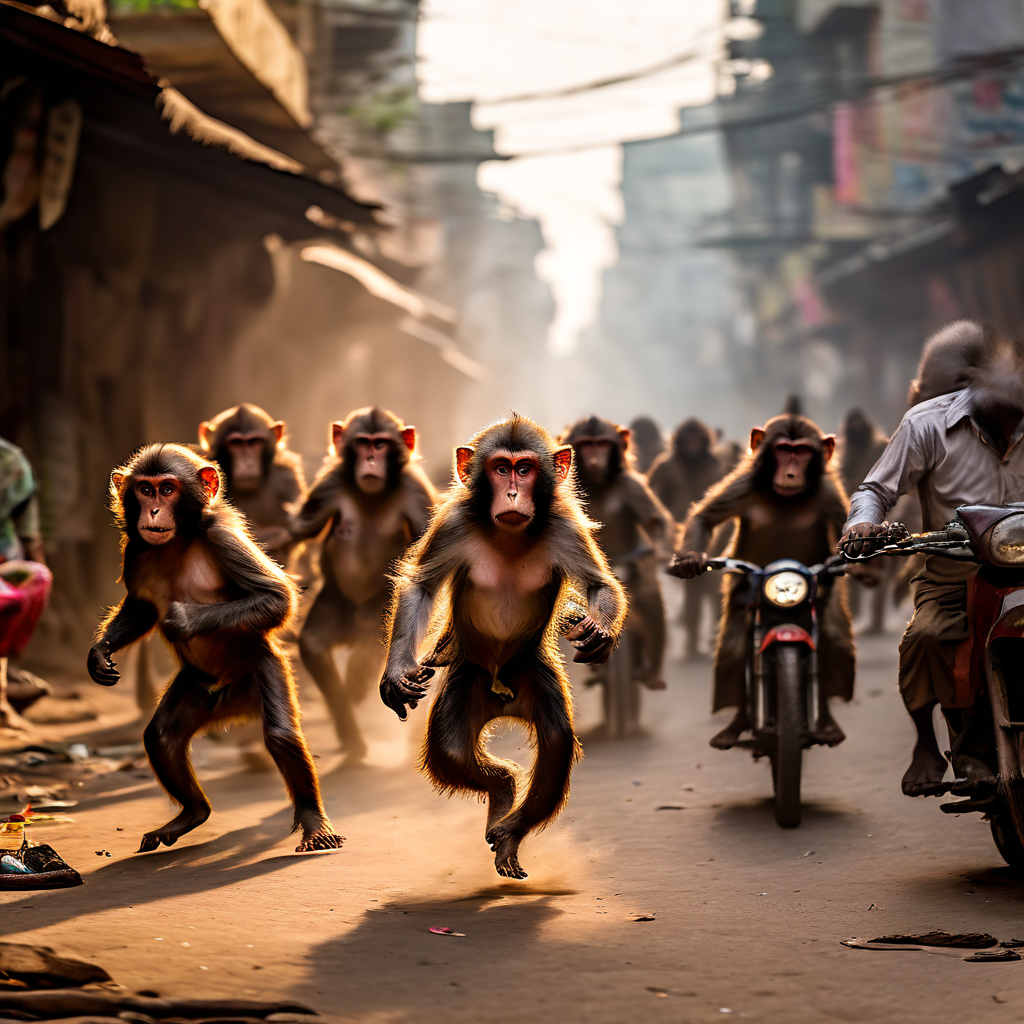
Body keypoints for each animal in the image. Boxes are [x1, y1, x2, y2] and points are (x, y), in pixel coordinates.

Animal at [87, 444, 342, 854]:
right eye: (145, 490)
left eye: (167, 490)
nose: (152, 511)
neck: (179, 540)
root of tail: (237, 705)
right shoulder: (136, 551)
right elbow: (141, 609)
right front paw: (99, 652)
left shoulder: (223, 537)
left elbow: (276, 598)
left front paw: (180, 619)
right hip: (199, 686)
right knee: (161, 736)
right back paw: (191, 814)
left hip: (262, 668)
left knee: (281, 735)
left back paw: (314, 824)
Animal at [292, 407, 437, 762]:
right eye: (362, 443)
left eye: (381, 444)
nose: (371, 459)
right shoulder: (330, 483)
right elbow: (298, 531)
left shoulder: (414, 490)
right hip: (336, 599)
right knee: (314, 644)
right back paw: (352, 739)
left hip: (375, 608)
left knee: (373, 636)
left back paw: (357, 680)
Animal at [379, 414, 626, 879]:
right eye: (500, 469)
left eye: (524, 469)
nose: (512, 492)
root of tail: (501, 694)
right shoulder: (453, 524)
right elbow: (421, 587)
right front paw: (395, 674)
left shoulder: (566, 527)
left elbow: (600, 585)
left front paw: (599, 634)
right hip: (468, 681)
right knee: (451, 750)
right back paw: (503, 789)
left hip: (532, 673)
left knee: (556, 742)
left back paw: (512, 830)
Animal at [560, 417, 672, 700]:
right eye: (587, 444)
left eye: (602, 444)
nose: (595, 459)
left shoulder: (629, 484)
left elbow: (655, 522)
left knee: (651, 606)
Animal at [669, 413, 854, 751]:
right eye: (782, 450)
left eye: (801, 451)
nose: (791, 472)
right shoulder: (746, 485)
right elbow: (705, 517)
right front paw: (689, 560)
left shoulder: (828, 492)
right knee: (734, 647)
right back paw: (734, 726)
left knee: (833, 637)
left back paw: (828, 724)